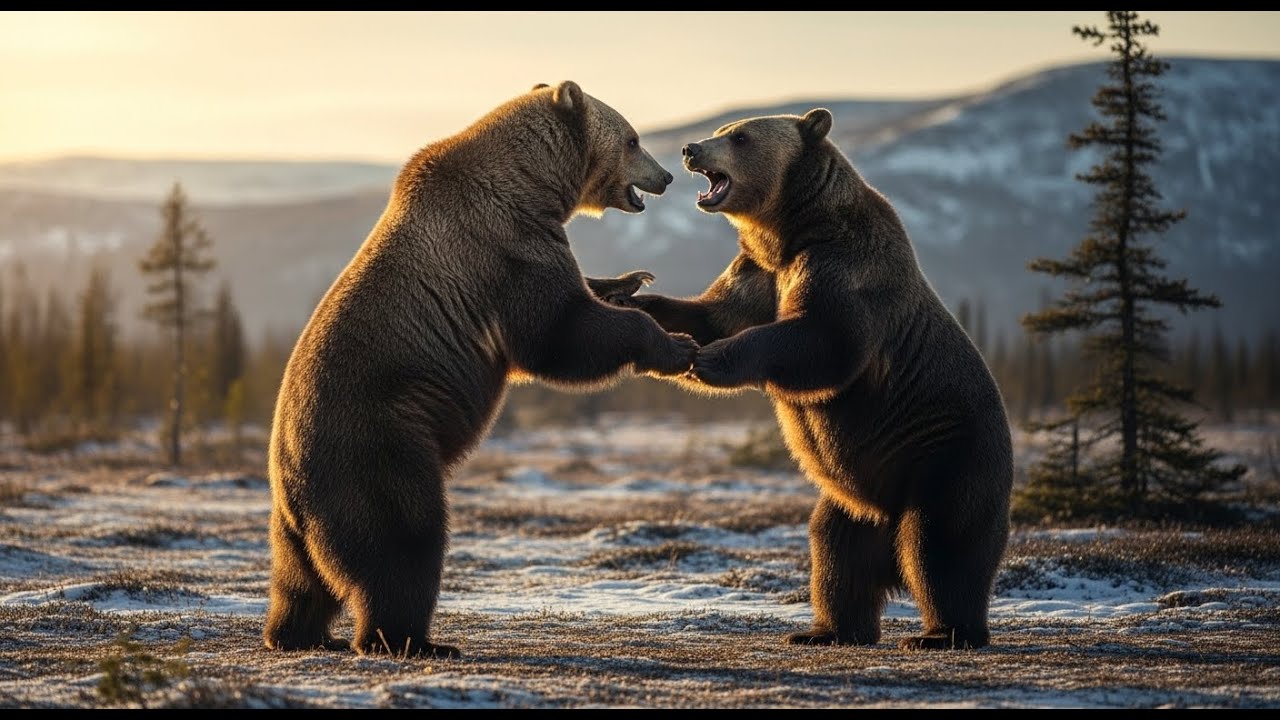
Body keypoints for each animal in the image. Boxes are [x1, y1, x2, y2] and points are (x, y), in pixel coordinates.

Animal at [263, 81, 698, 659]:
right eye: (632, 139)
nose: (666, 175)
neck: (534, 187)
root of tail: (291, 484)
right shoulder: (507, 250)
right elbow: (558, 333)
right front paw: (674, 343)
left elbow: (580, 301)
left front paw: (628, 280)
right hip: (380, 446)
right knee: (405, 540)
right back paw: (411, 639)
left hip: (293, 522)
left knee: (300, 580)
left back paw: (300, 634)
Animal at [616, 108, 1013, 650]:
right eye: (721, 131)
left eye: (740, 136)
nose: (690, 149)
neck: (789, 229)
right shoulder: (759, 270)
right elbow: (713, 313)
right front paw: (630, 301)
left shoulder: (841, 265)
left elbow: (825, 339)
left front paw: (715, 358)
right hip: (859, 495)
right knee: (835, 548)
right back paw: (827, 629)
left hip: (947, 455)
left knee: (940, 542)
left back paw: (943, 632)